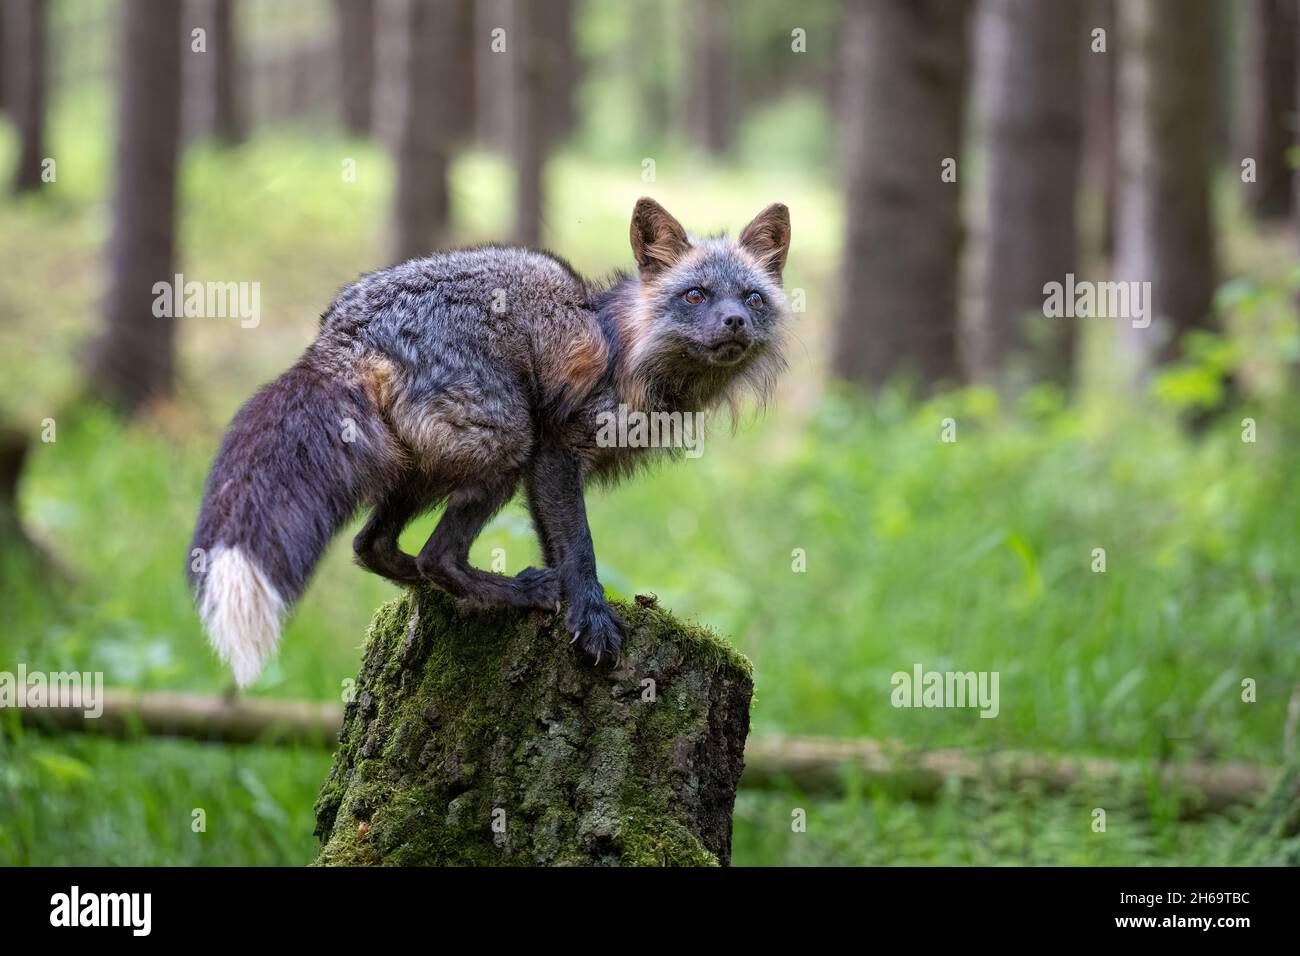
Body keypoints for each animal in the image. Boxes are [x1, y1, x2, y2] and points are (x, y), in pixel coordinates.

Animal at [189, 198, 791, 686]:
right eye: (695, 295)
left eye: (753, 298)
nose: (735, 322)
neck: (628, 353)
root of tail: (343, 333)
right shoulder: (553, 448)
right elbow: (579, 547)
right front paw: (591, 616)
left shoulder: (544, 474)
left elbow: (554, 540)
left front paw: (569, 608)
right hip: (506, 446)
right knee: (437, 556)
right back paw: (513, 593)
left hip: (423, 468)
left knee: (373, 547)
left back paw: (454, 596)